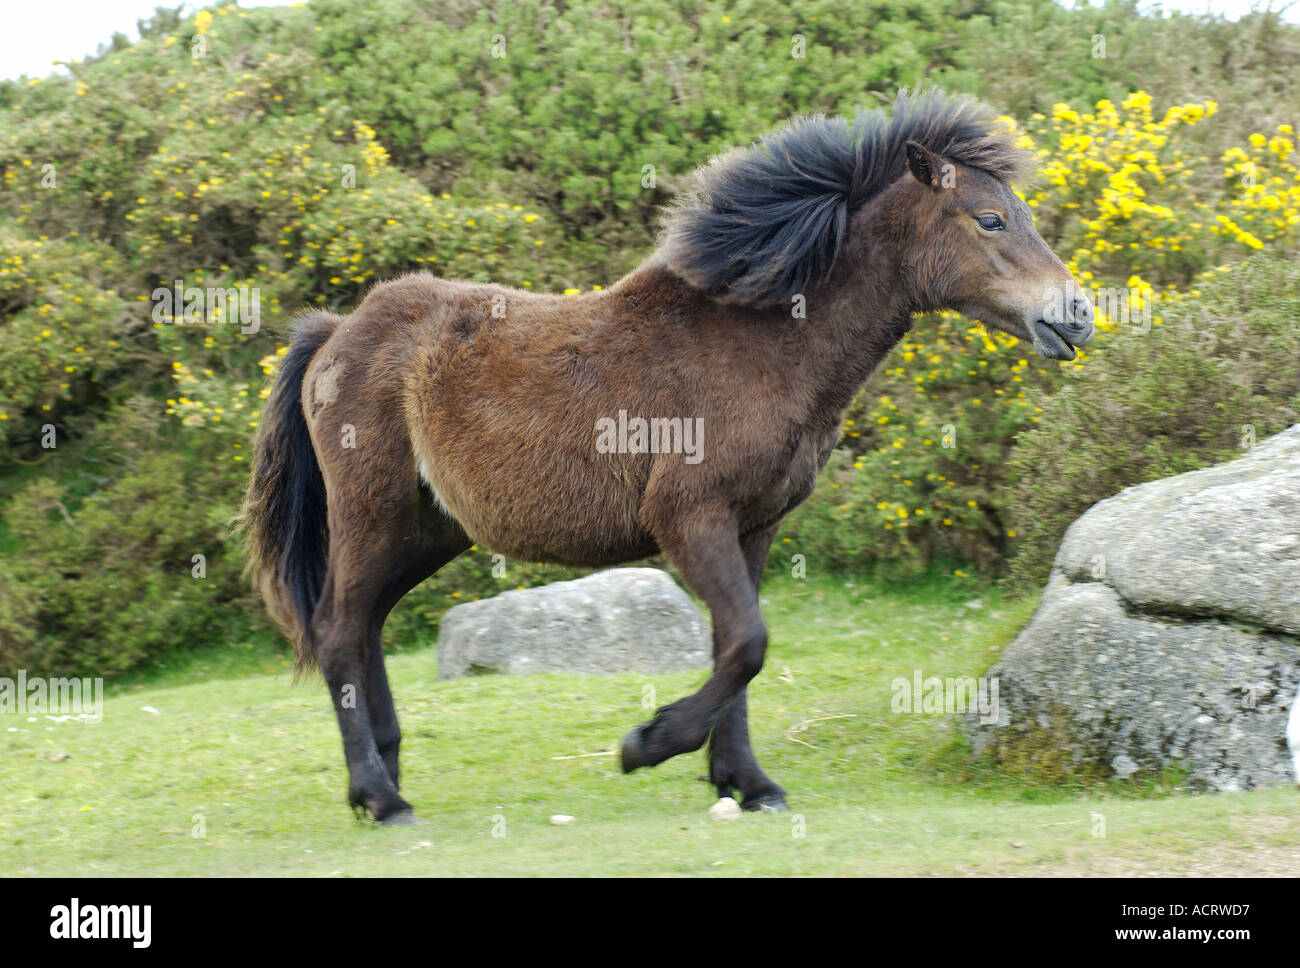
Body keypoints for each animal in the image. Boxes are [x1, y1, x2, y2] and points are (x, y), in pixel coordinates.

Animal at [240, 89, 1095, 823]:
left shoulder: (753, 528)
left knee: (367, 625)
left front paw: (746, 782)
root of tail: (337, 332)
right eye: (990, 220)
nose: (1077, 314)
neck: (762, 342)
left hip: (429, 529)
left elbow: (736, 646)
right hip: (373, 513)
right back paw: (380, 797)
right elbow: (747, 644)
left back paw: (384, 776)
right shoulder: (689, 518)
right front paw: (647, 745)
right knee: (339, 632)